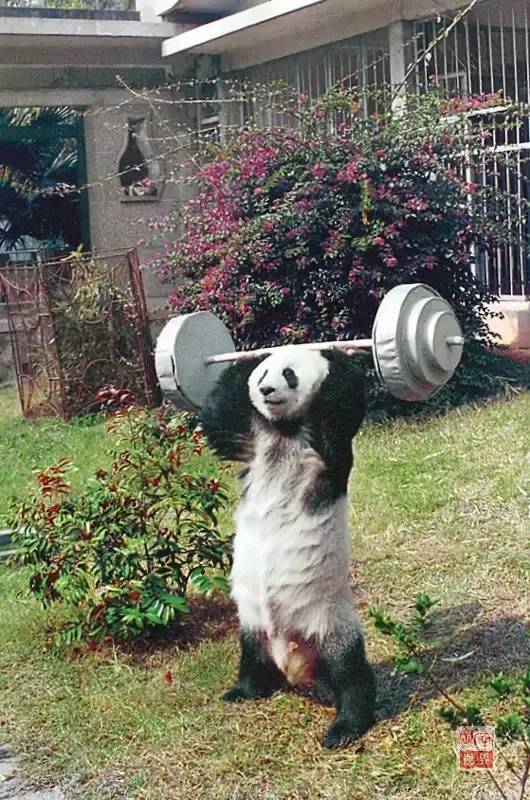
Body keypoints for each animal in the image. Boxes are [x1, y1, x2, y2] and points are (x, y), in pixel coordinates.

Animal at [201, 346, 376, 749]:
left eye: (289, 374)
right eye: (265, 374)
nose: (266, 391)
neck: (285, 429)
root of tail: (295, 668)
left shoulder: (326, 447)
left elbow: (343, 407)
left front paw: (338, 353)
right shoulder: (252, 439)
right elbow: (217, 419)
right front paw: (245, 357)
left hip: (328, 621)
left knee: (350, 673)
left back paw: (345, 727)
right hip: (251, 624)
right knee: (251, 659)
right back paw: (243, 691)